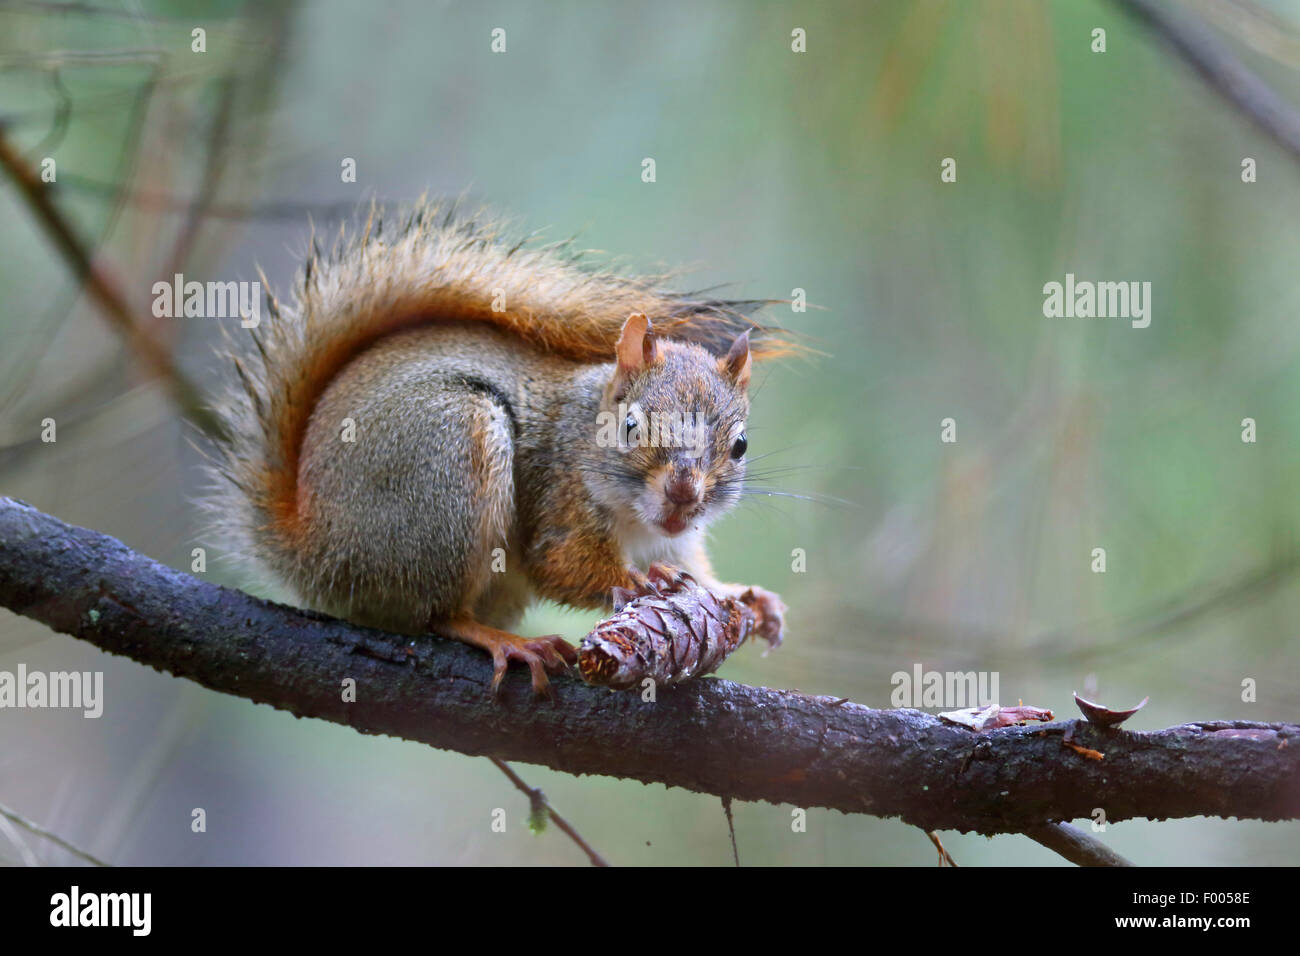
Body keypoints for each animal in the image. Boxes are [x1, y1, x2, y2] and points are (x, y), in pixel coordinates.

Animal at [207, 200, 790, 695]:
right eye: (629, 426)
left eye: (740, 444)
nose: (684, 493)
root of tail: (314, 552)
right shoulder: (560, 496)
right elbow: (560, 564)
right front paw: (644, 579)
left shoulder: (676, 539)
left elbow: (700, 573)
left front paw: (747, 597)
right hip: (446, 471)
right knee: (437, 615)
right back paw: (511, 644)